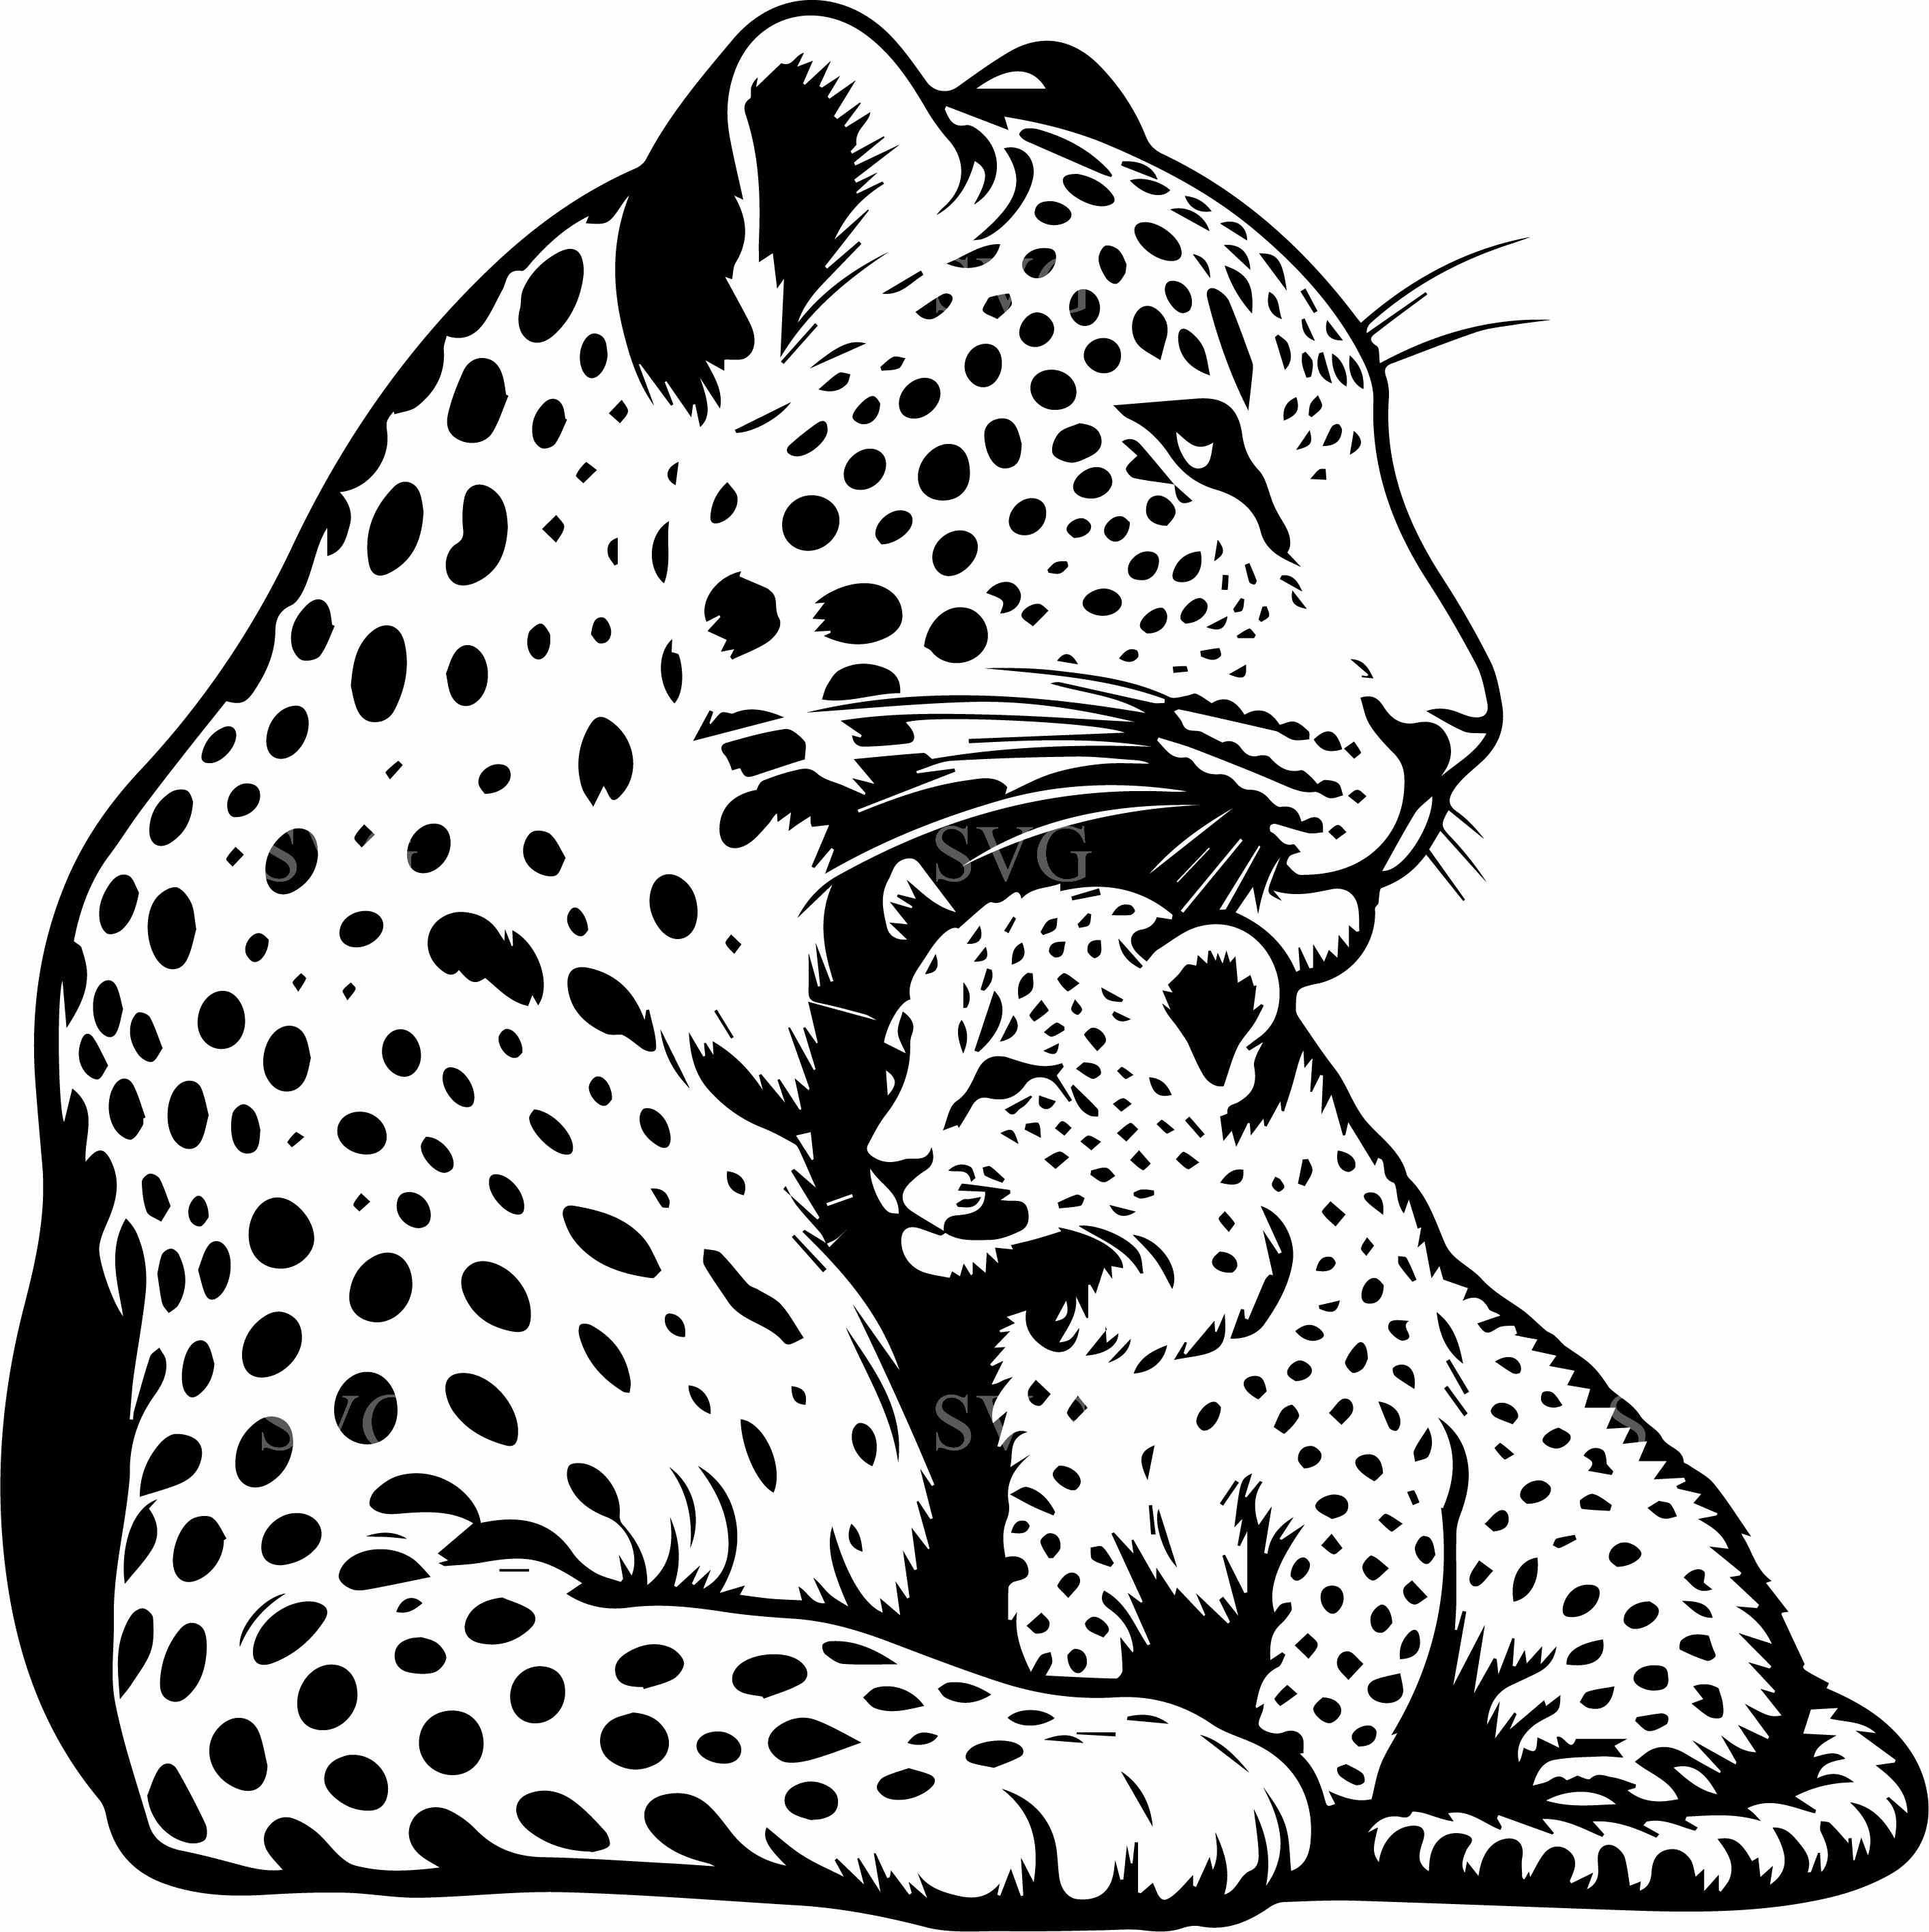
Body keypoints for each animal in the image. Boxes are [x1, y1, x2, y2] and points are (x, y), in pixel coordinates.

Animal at [867, 879, 1923, 1896]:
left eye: (1006, 1076)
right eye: (896, 1060)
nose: (885, 1165)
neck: (1123, 1310)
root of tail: (1790, 1689)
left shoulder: (1354, 1515)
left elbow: (1328, 1681)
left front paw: (1298, 1804)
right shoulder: (1065, 1509)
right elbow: (1074, 1645)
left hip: (1603, 1650)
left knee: (1637, 1813)